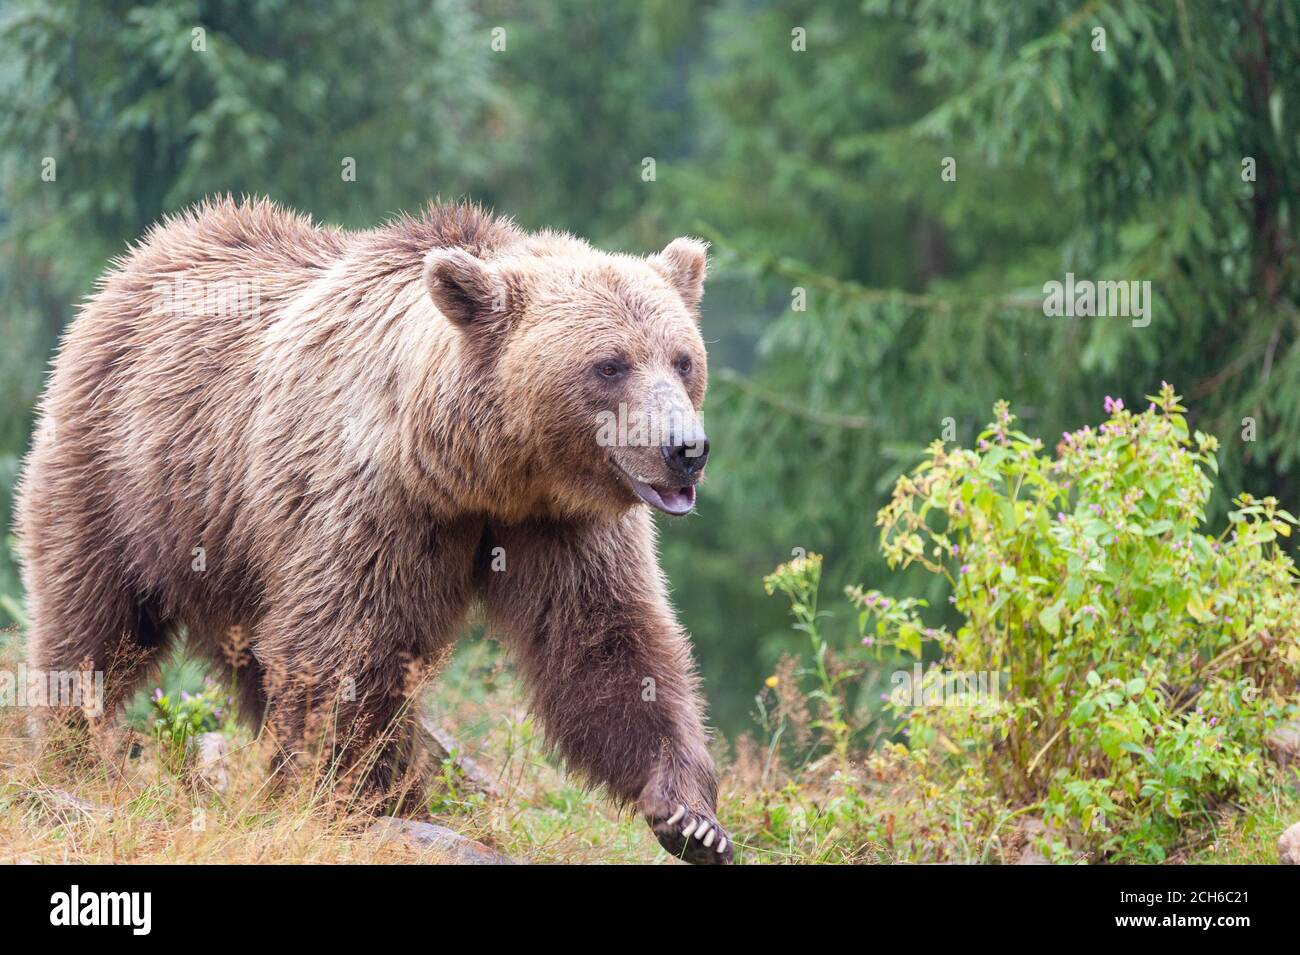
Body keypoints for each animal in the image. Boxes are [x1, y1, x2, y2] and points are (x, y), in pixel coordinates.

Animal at [14, 196, 731, 864]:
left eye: (682, 358)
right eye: (609, 364)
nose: (685, 448)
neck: (481, 469)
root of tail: (145, 254)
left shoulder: (560, 524)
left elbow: (606, 643)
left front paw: (692, 818)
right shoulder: (375, 504)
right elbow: (347, 649)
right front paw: (351, 798)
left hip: (234, 545)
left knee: (251, 657)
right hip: (125, 475)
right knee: (92, 621)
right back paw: (71, 756)